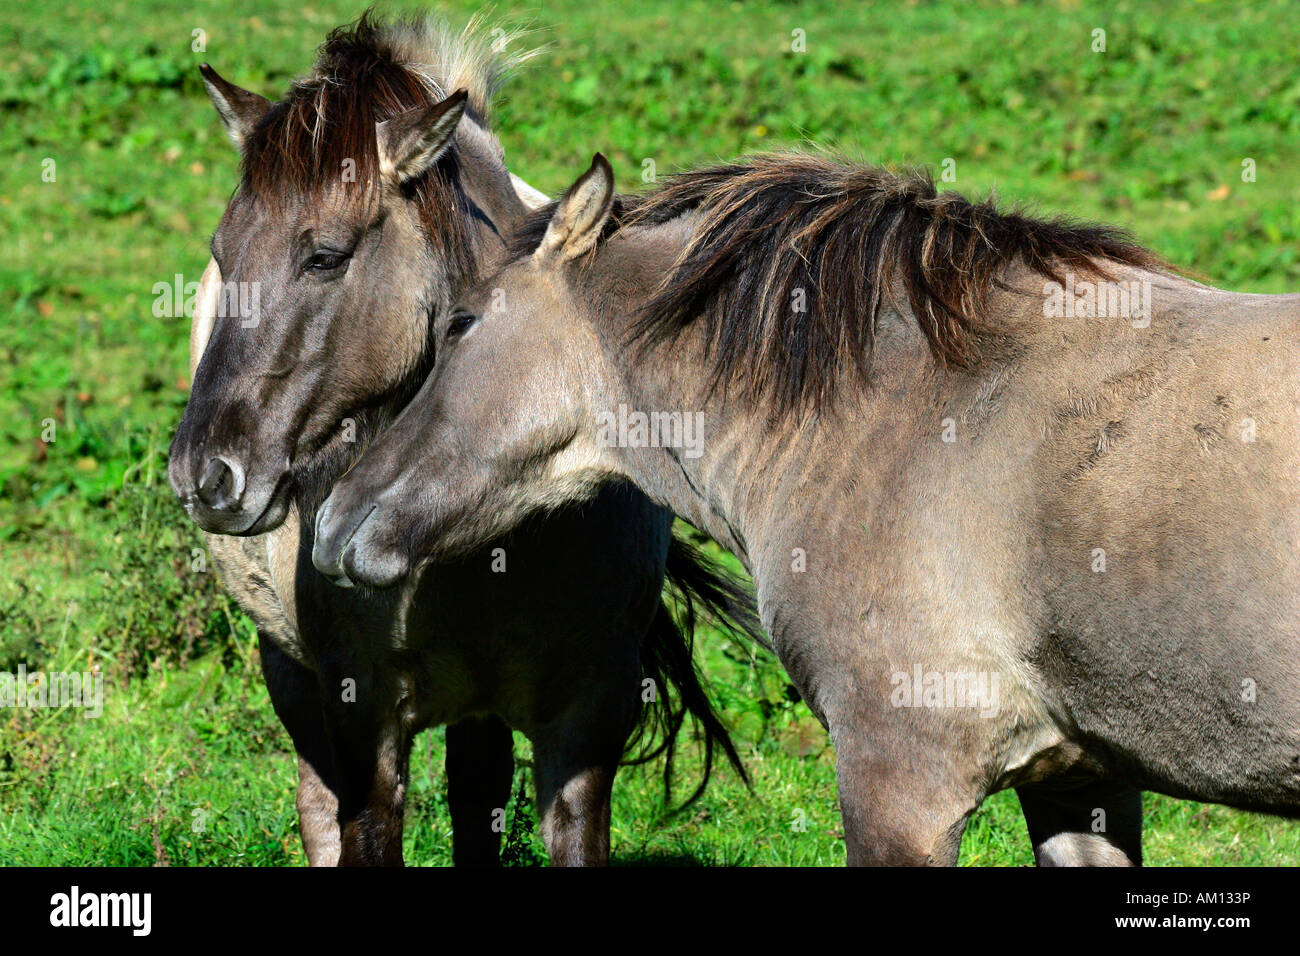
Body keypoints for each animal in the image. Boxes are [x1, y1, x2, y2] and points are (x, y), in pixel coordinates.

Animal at [168, 16, 756, 867]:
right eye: (222, 255)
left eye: (325, 257)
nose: (203, 475)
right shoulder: (362, 717)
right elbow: (361, 830)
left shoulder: (590, 717)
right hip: (289, 673)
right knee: (318, 811)